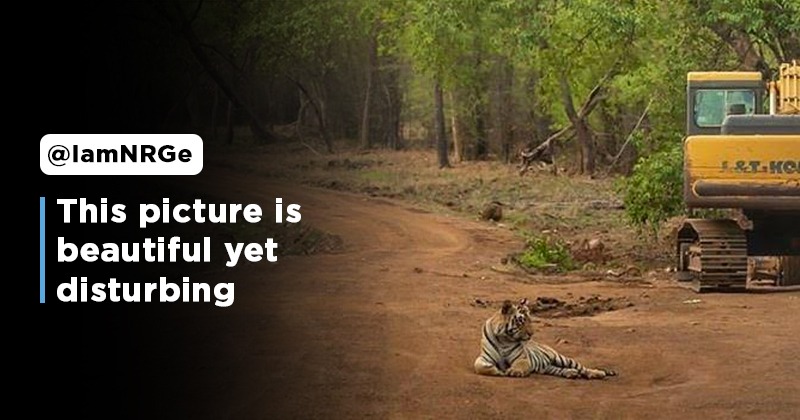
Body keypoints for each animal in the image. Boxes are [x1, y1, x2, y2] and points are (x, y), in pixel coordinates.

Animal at [474, 298, 617, 379]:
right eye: (521, 321)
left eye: (531, 320)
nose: (531, 334)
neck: (504, 339)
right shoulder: (484, 358)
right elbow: (480, 367)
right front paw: (497, 371)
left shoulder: (522, 359)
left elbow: (519, 365)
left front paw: (514, 371)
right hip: (549, 367)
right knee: (560, 370)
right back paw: (571, 373)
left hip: (561, 358)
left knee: (583, 368)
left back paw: (596, 373)